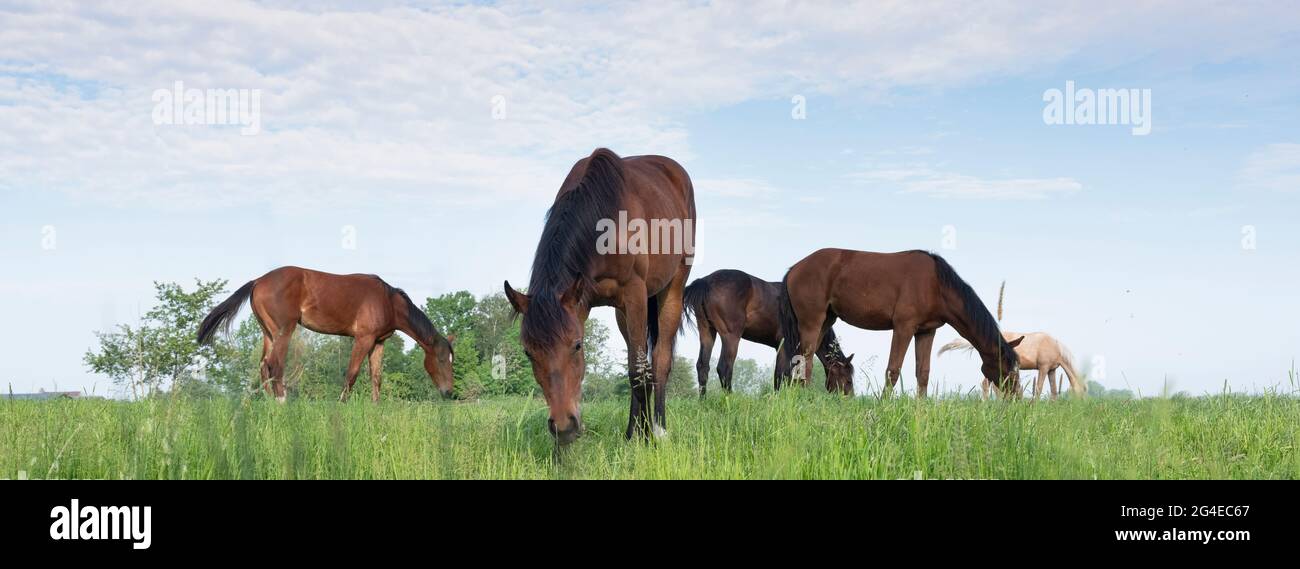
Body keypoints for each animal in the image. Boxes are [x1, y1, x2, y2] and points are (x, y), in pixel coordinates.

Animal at [196, 266, 456, 402]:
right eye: (442, 359)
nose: (449, 392)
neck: (388, 301)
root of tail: (258, 281)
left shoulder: (378, 343)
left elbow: (376, 377)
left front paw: (376, 407)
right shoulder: (363, 339)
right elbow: (352, 374)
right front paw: (342, 404)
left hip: (268, 333)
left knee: (263, 366)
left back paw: (269, 402)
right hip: (284, 331)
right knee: (275, 365)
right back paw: (281, 403)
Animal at [505, 148, 695, 447]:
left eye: (577, 346)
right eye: (528, 352)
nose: (563, 425)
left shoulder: (635, 293)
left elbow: (639, 371)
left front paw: (646, 439)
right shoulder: (581, 301)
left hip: (672, 289)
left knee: (659, 361)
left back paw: (659, 429)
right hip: (622, 313)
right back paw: (631, 432)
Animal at [681, 269, 856, 395]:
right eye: (848, 380)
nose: (849, 400)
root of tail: (705, 281)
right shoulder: (783, 346)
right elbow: (781, 375)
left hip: (707, 332)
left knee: (703, 367)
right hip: (730, 336)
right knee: (724, 368)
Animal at [777, 249, 1023, 398]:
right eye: (1008, 369)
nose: (1017, 398)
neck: (936, 284)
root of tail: (794, 269)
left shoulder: (926, 332)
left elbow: (923, 373)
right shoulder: (904, 328)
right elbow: (893, 370)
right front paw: (884, 404)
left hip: (826, 320)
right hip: (812, 321)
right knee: (805, 360)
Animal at [938, 330, 1084, 400]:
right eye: (1081, 392)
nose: (1079, 408)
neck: (1055, 346)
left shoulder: (1051, 370)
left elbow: (1054, 391)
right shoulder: (1043, 368)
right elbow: (1038, 389)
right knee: (988, 385)